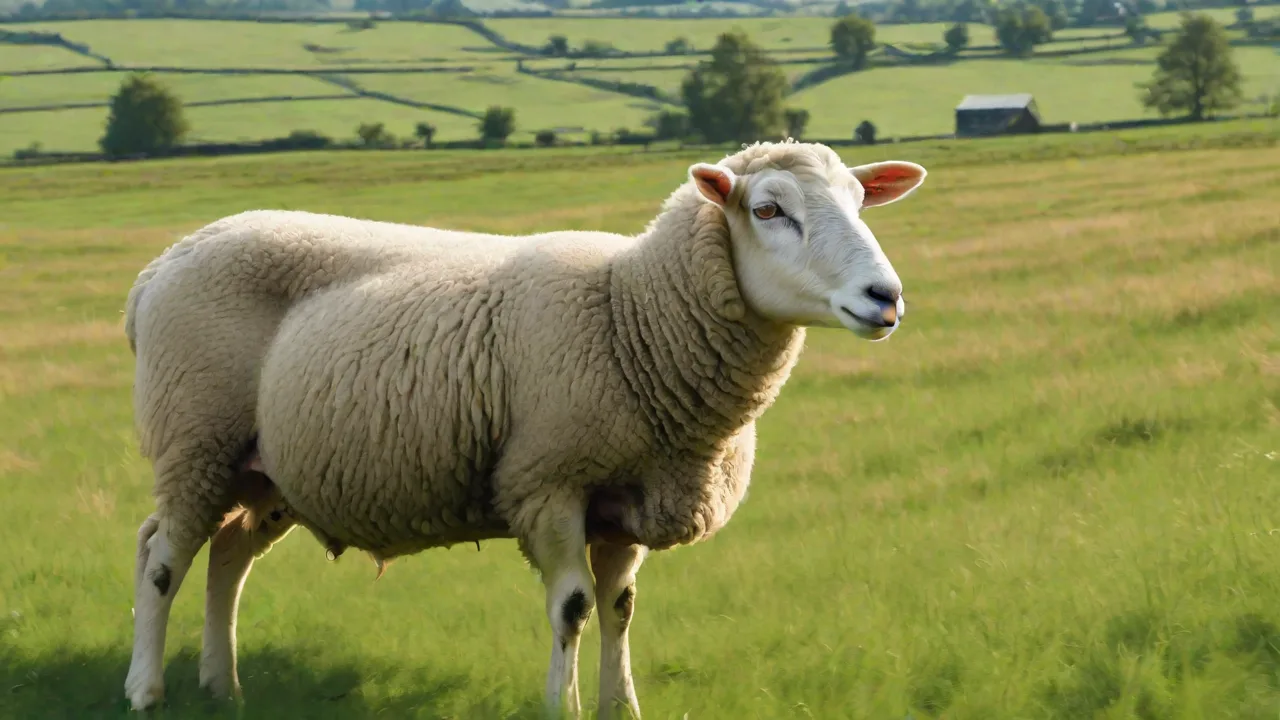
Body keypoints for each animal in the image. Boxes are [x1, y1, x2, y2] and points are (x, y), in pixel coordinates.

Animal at [121, 139, 927, 718]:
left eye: (862, 200)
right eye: (767, 210)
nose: (885, 297)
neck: (631, 313)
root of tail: (159, 267)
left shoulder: (624, 502)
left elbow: (619, 609)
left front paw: (619, 707)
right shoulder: (547, 482)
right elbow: (572, 608)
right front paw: (558, 707)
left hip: (264, 469)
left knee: (227, 557)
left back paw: (223, 688)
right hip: (194, 436)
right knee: (162, 556)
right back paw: (145, 690)